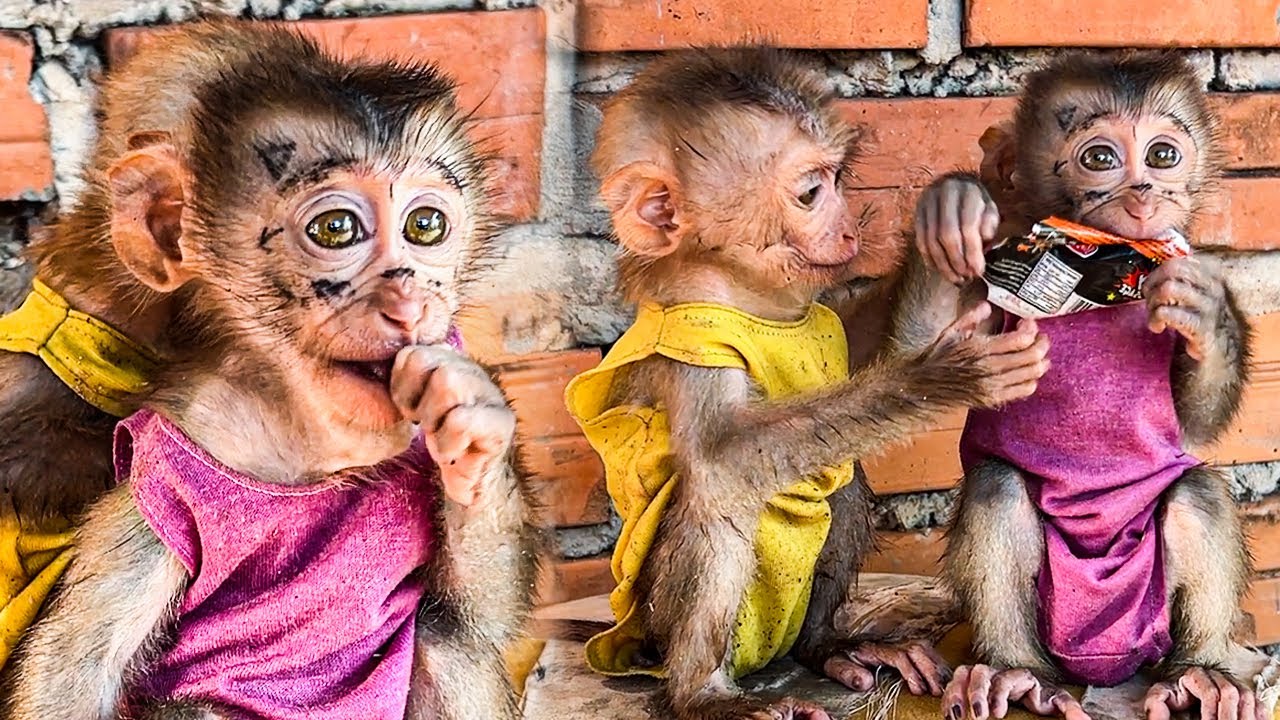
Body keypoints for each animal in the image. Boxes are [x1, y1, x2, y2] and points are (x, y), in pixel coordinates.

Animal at [0, 20, 538, 720]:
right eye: (335, 228)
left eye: (426, 224)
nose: (410, 305)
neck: (303, 442)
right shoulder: (161, 480)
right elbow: (75, 670)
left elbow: (478, 620)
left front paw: (474, 427)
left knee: (448, 646)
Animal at [562, 47, 1053, 720]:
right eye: (811, 192)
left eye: (839, 181)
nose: (848, 227)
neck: (752, 299)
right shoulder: (692, 333)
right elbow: (719, 456)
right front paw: (950, 374)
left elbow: (888, 347)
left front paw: (956, 207)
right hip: (663, 634)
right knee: (721, 502)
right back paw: (701, 693)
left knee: (838, 481)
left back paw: (831, 647)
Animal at [898, 51, 1259, 720]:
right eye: (1100, 158)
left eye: (1163, 155)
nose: (1144, 197)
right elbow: (915, 359)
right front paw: (954, 208)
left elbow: (1195, 423)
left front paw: (1205, 313)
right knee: (995, 485)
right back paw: (1012, 672)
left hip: (1150, 621)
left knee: (1196, 488)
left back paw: (1201, 671)